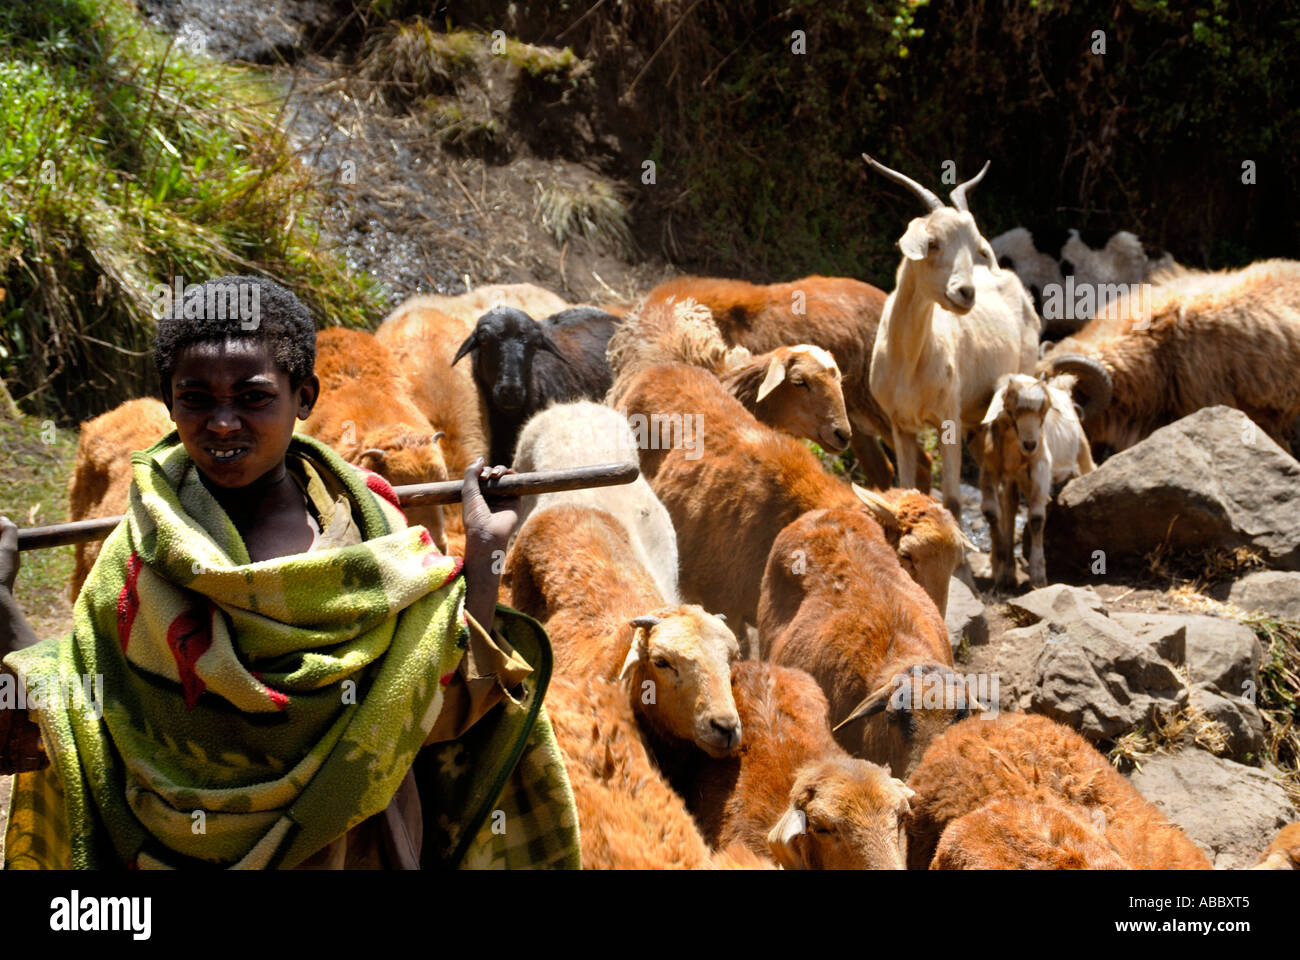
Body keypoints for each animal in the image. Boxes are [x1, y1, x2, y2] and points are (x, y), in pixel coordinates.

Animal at [863, 155, 1040, 519]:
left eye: (975, 249)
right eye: (933, 243)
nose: (965, 293)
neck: (909, 360)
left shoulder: (948, 420)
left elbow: (954, 501)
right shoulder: (900, 425)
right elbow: (905, 488)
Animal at [971, 372, 1096, 589]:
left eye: (1044, 410)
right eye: (1010, 408)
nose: (1030, 444)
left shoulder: (1040, 467)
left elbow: (1036, 517)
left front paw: (1038, 577)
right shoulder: (990, 469)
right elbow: (992, 512)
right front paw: (1001, 570)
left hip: (1082, 452)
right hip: (1016, 480)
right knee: (1011, 508)